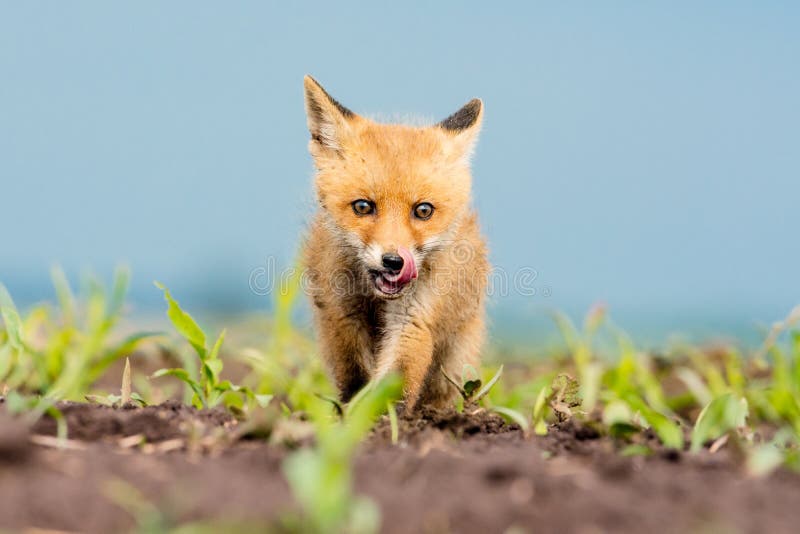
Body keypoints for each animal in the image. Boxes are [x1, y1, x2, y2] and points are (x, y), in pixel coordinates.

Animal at [301, 75, 489, 410]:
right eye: (363, 207)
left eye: (423, 211)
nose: (394, 262)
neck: (375, 297)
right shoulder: (341, 316)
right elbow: (355, 379)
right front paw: (351, 415)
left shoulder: (415, 319)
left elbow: (395, 381)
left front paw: (387, 418)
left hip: (455, 364)